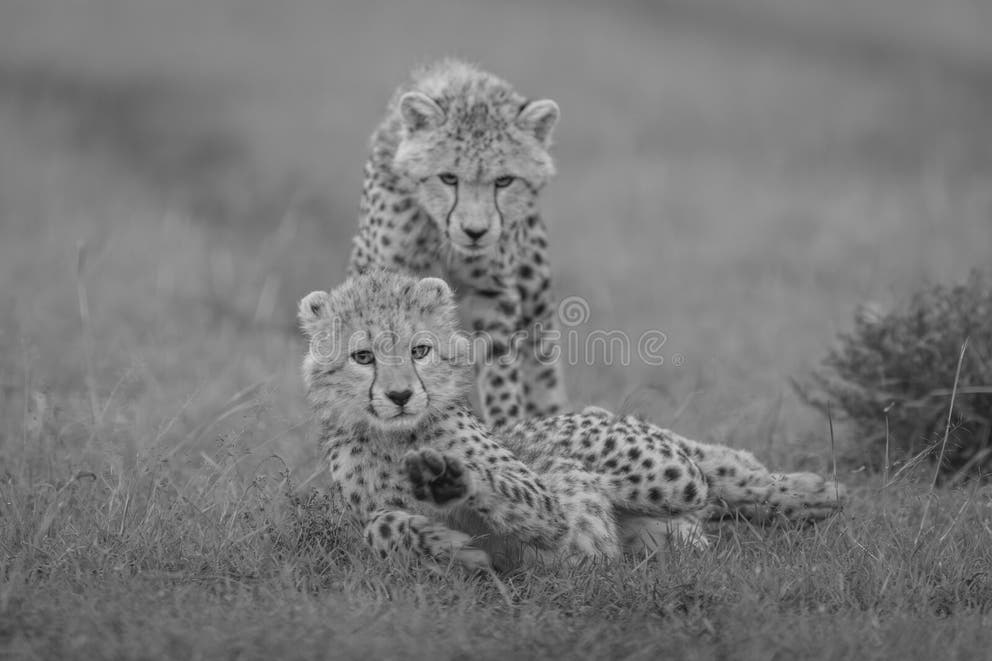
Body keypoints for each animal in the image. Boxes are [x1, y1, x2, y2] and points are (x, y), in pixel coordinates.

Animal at [298, 271, 846, 571]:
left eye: (419, 350)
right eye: (363, 356)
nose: (400, 395)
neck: (397, 439)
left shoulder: (545, 506)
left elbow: (508, 489)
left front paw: (447, 478)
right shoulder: (369, 518)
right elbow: (382, 524)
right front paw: (448, 549)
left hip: (663, 471)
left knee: (717, 469)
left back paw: (816, 493)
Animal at [347, 58, 568, 431]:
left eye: (504, 180)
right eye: (448, 177)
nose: (475, 231)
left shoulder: (493, 293)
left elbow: (500, 370)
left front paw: (506, 424)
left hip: (535, 294)